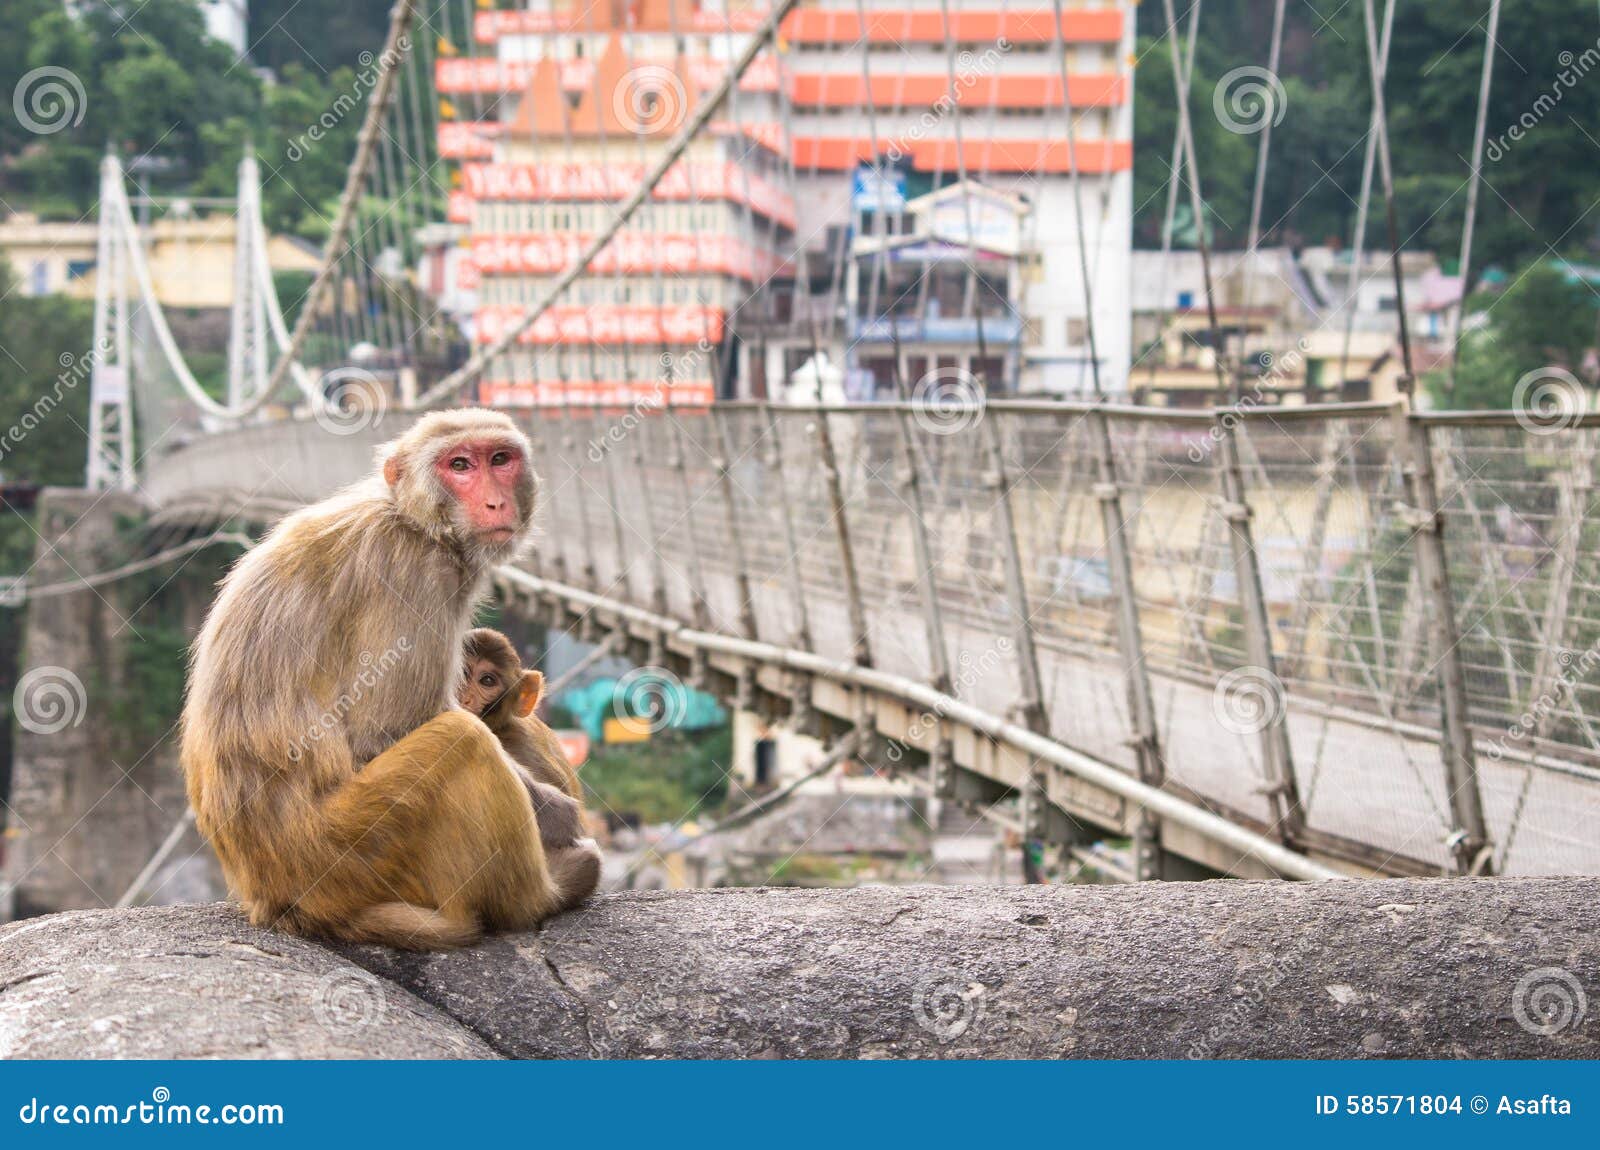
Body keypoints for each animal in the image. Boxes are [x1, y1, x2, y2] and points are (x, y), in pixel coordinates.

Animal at [180, 408, 601, 951]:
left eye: (500, 459)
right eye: (459, 465)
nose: (495, 500)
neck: (416, 522)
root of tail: (275, 902)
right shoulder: (414, 573)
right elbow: (381, 730)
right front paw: (559, 816)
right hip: (347, 849)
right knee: (461, 739)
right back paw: (541, 896)